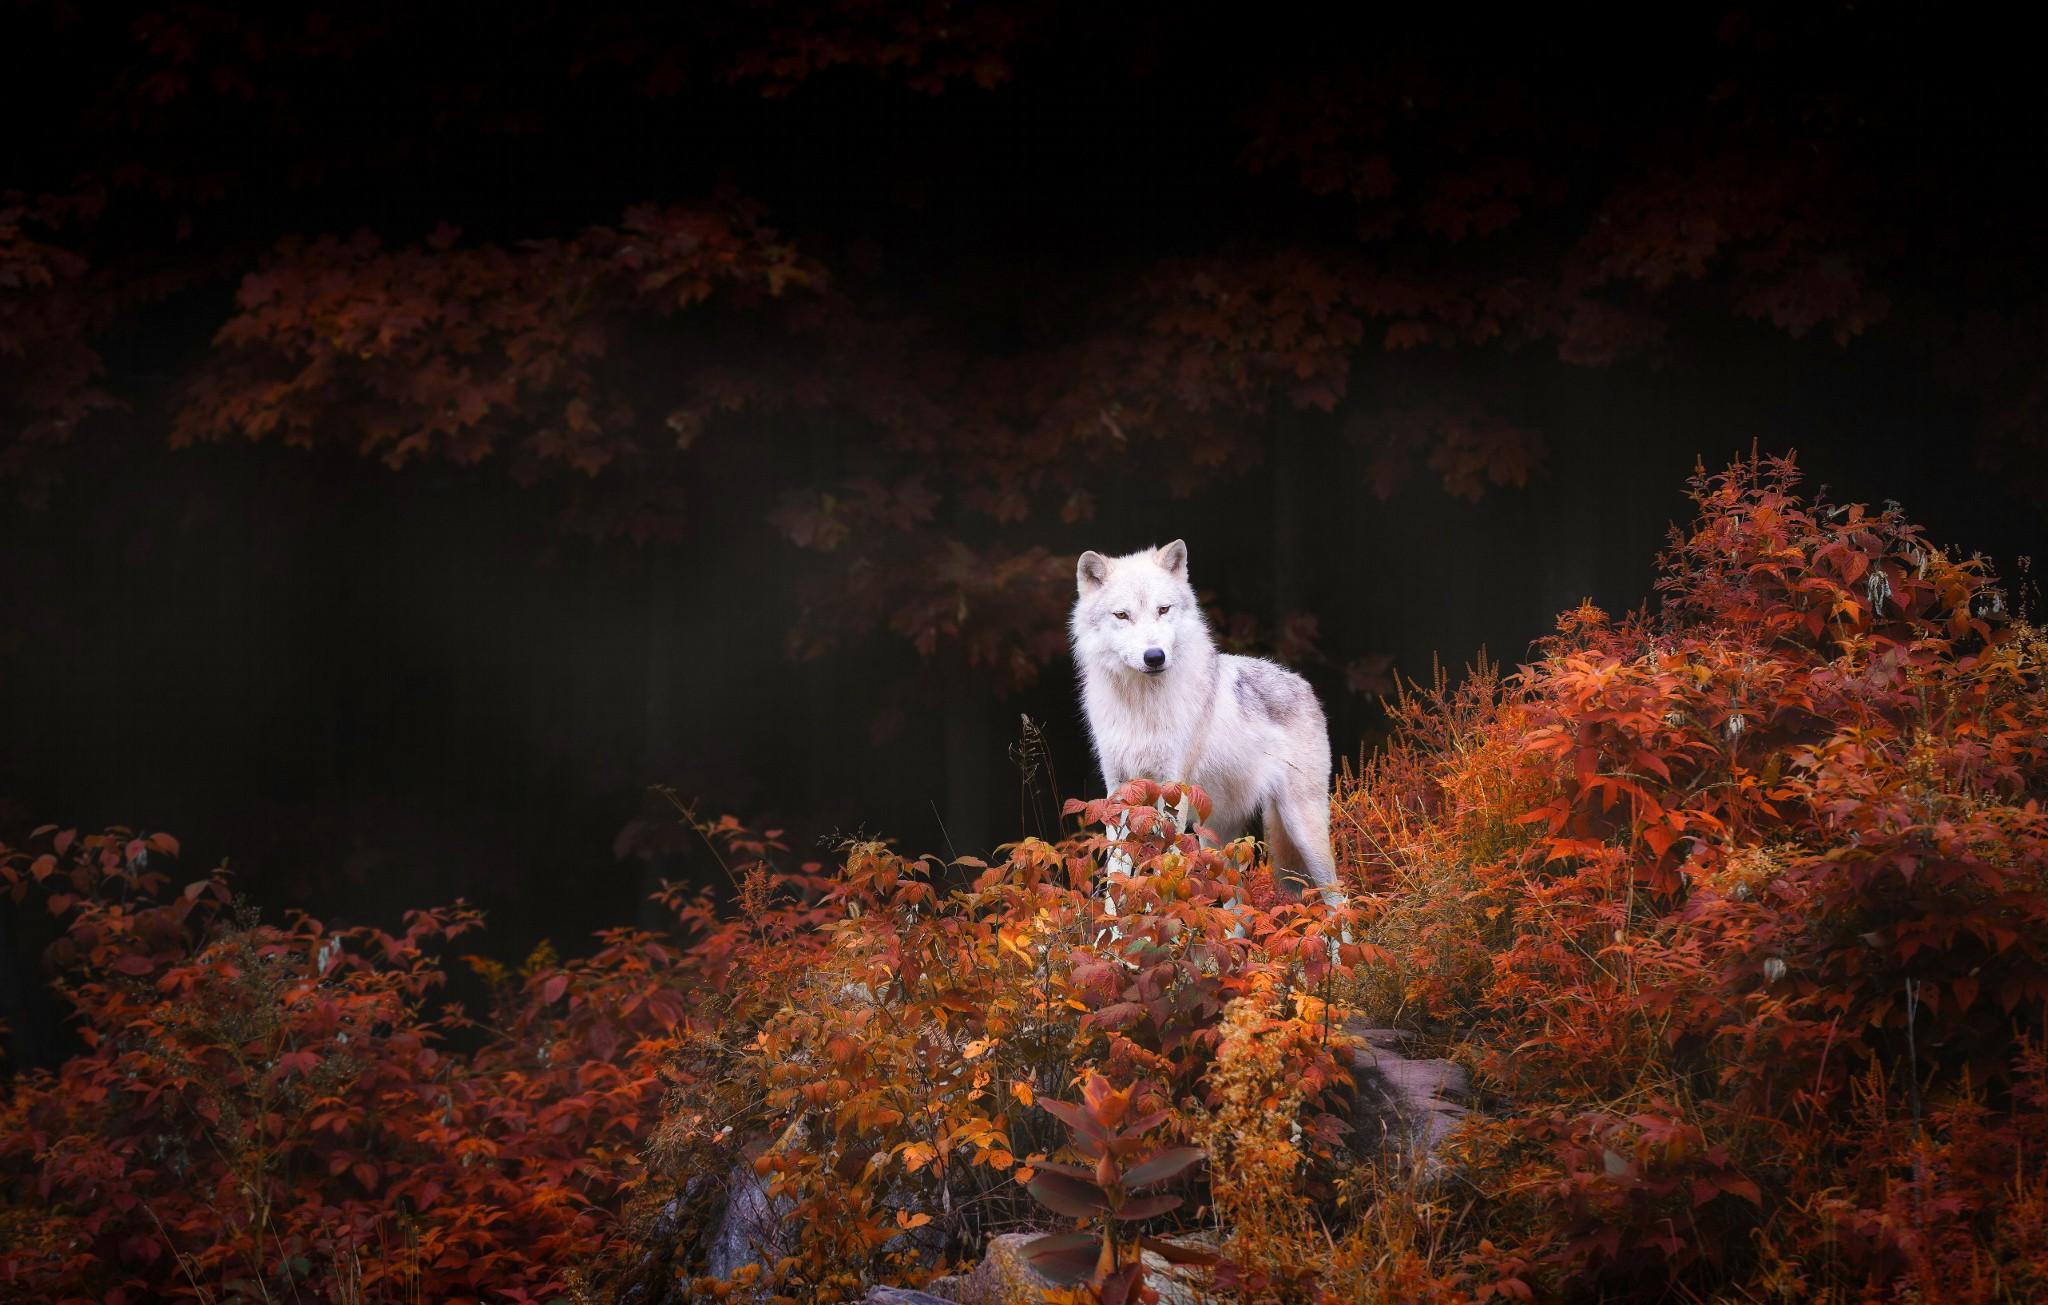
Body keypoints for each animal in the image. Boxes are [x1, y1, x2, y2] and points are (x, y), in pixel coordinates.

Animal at [1070, 539, 1339, 896]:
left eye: (1163, 609)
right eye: (1122, 615)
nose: (1154, 657)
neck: (1143, 706)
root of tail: (1303, 684)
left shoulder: (1172, 788)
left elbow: (1162, 864)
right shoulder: (1118, 791)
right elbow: (1118, 871)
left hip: (1303, 830)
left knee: (1340, 897)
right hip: (1219, 843)